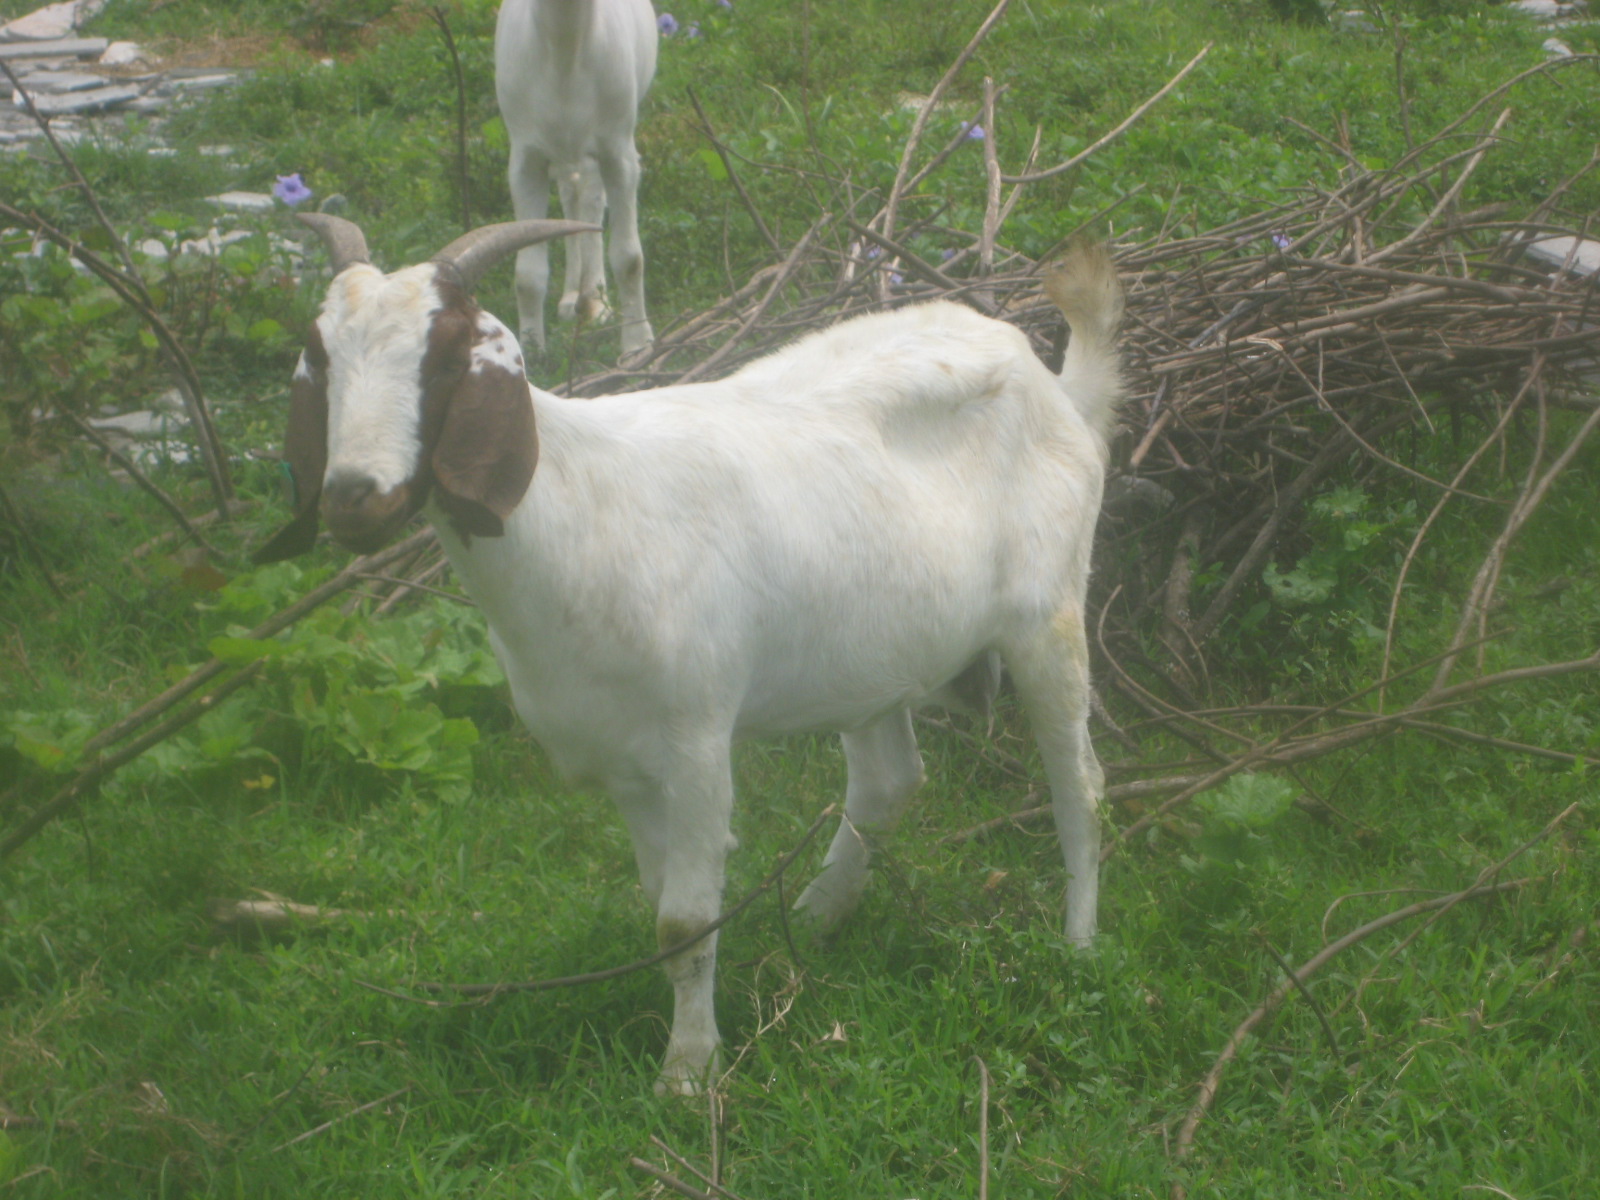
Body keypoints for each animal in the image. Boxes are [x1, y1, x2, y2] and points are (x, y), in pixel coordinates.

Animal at [257, 213, 1126, 1095]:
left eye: (442, 356)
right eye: (321, 354)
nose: (354, 498)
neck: (576, 508)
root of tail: (1056, 384)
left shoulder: (698, 738)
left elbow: (684, 918)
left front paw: (687, 1073)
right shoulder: (626, 764)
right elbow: (661, 904)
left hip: (1048, 615)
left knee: (1080, 785)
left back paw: (1080, 946)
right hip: (867, 652)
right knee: (890, 780)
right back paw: (816, 915)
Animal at [495, 0, 657, 358]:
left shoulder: (618, 149)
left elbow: (629, 258)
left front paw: (637, 346)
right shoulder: (525, 160)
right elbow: (527, 273)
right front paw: (532, 351)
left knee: (591, 195)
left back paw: (596, 301)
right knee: (573, 193)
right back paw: (574, 299)